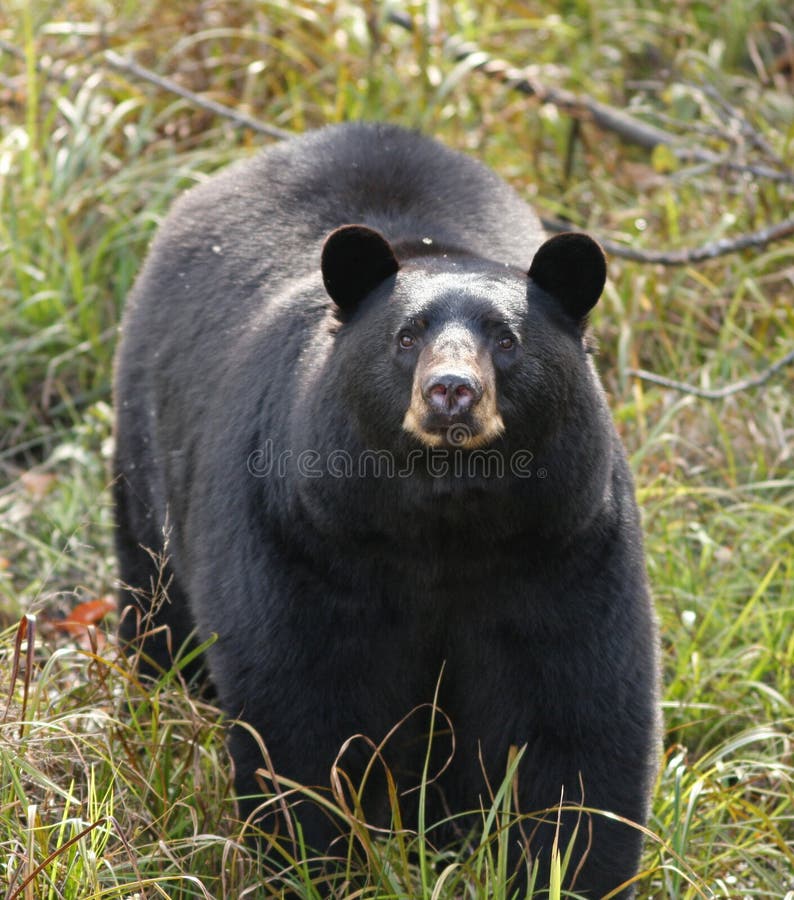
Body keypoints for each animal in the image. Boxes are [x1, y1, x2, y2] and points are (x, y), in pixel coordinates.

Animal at [114, 121, 660, 897]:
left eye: (506, 339)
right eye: (407, 337)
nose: (452, 391)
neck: (442, 518)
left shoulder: (565, 539)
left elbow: (575, 715)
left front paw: (569, 870)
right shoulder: (301, 535)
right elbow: (304, 711)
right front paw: (313, 864)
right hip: (147, 446)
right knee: (156, 594)